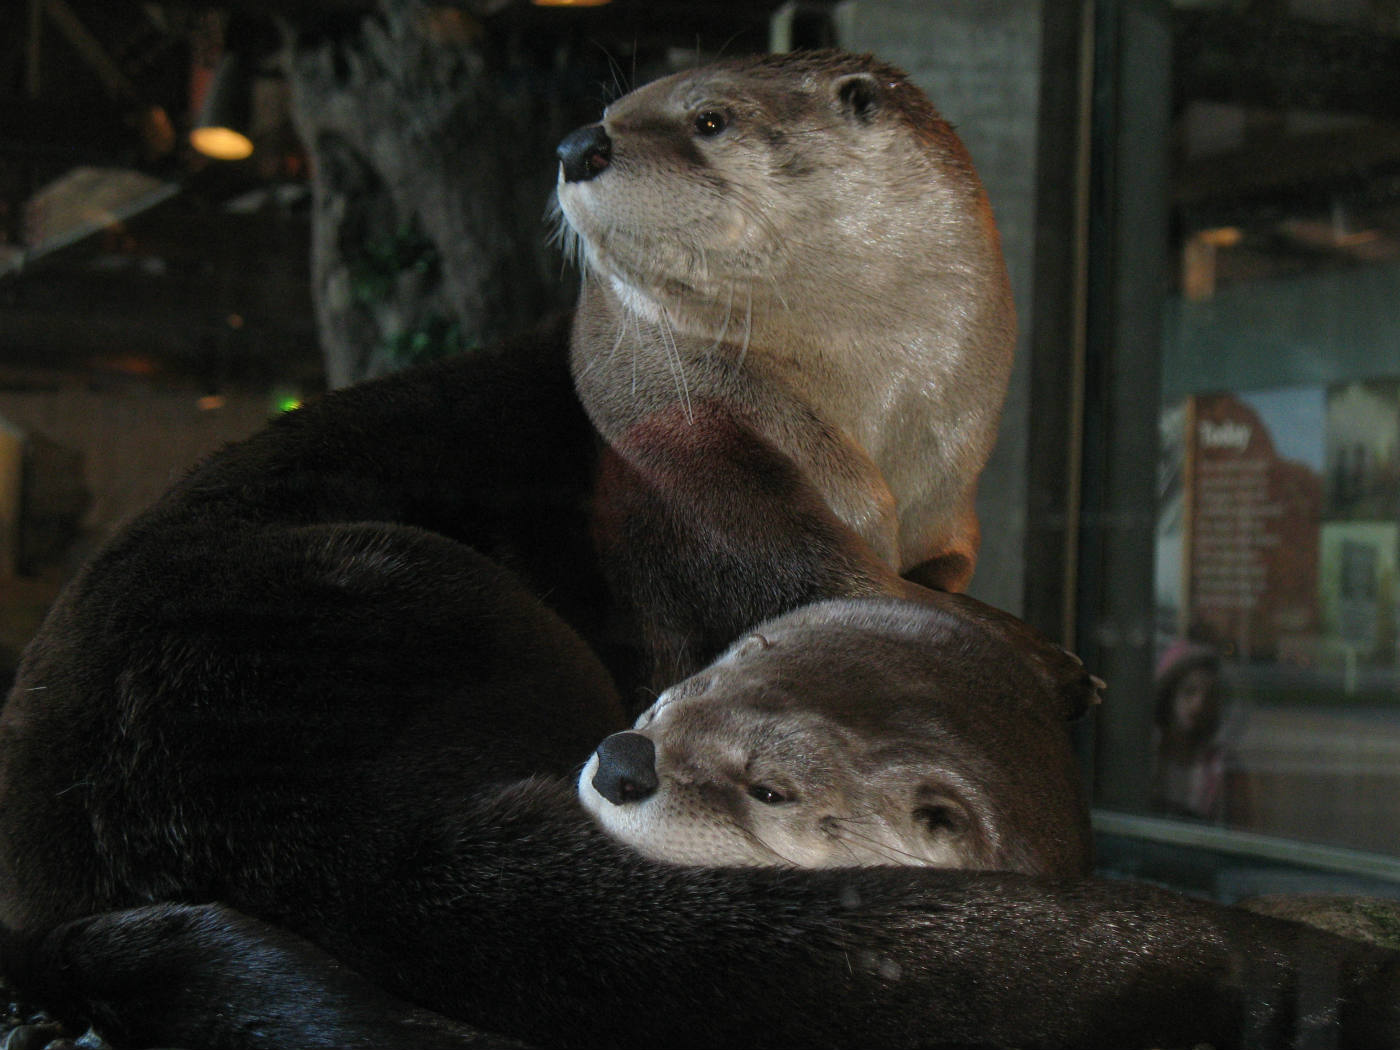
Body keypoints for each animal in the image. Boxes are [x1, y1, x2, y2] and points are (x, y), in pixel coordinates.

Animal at [557, 50, 1015, 593]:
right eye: (608, 111)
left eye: (710, 120)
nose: (578, 146)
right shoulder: (661, 390)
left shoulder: (954, 479)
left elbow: (951, 554)